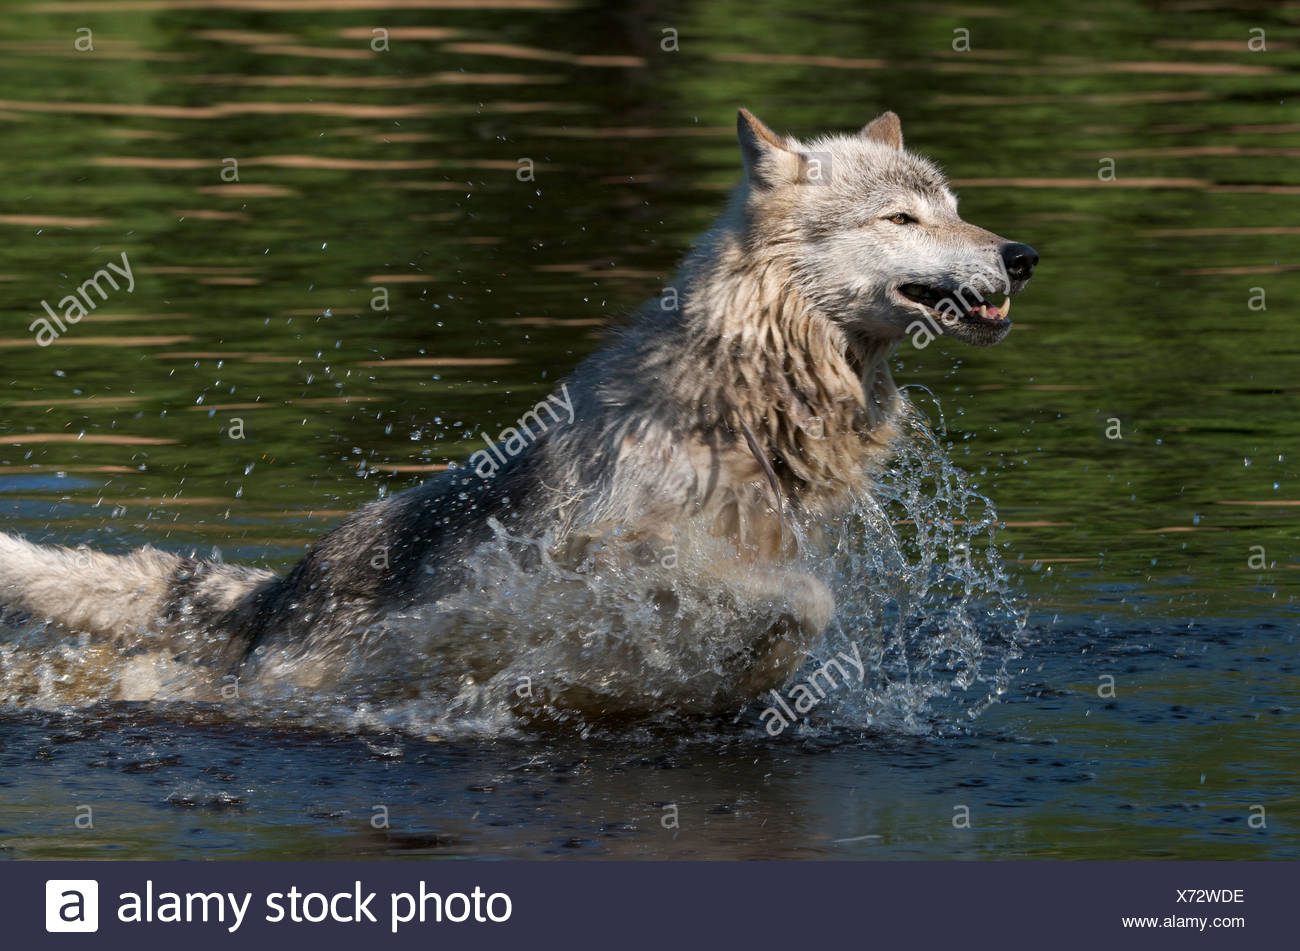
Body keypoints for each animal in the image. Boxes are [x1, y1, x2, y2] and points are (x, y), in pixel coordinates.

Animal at [0, 110, 1036, 719]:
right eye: (903, 219)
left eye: (955, 206)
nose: (1021, 254)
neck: (740, 390)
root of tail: (284, 581)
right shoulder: (633, 566)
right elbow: (800, 600)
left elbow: (792, 620)